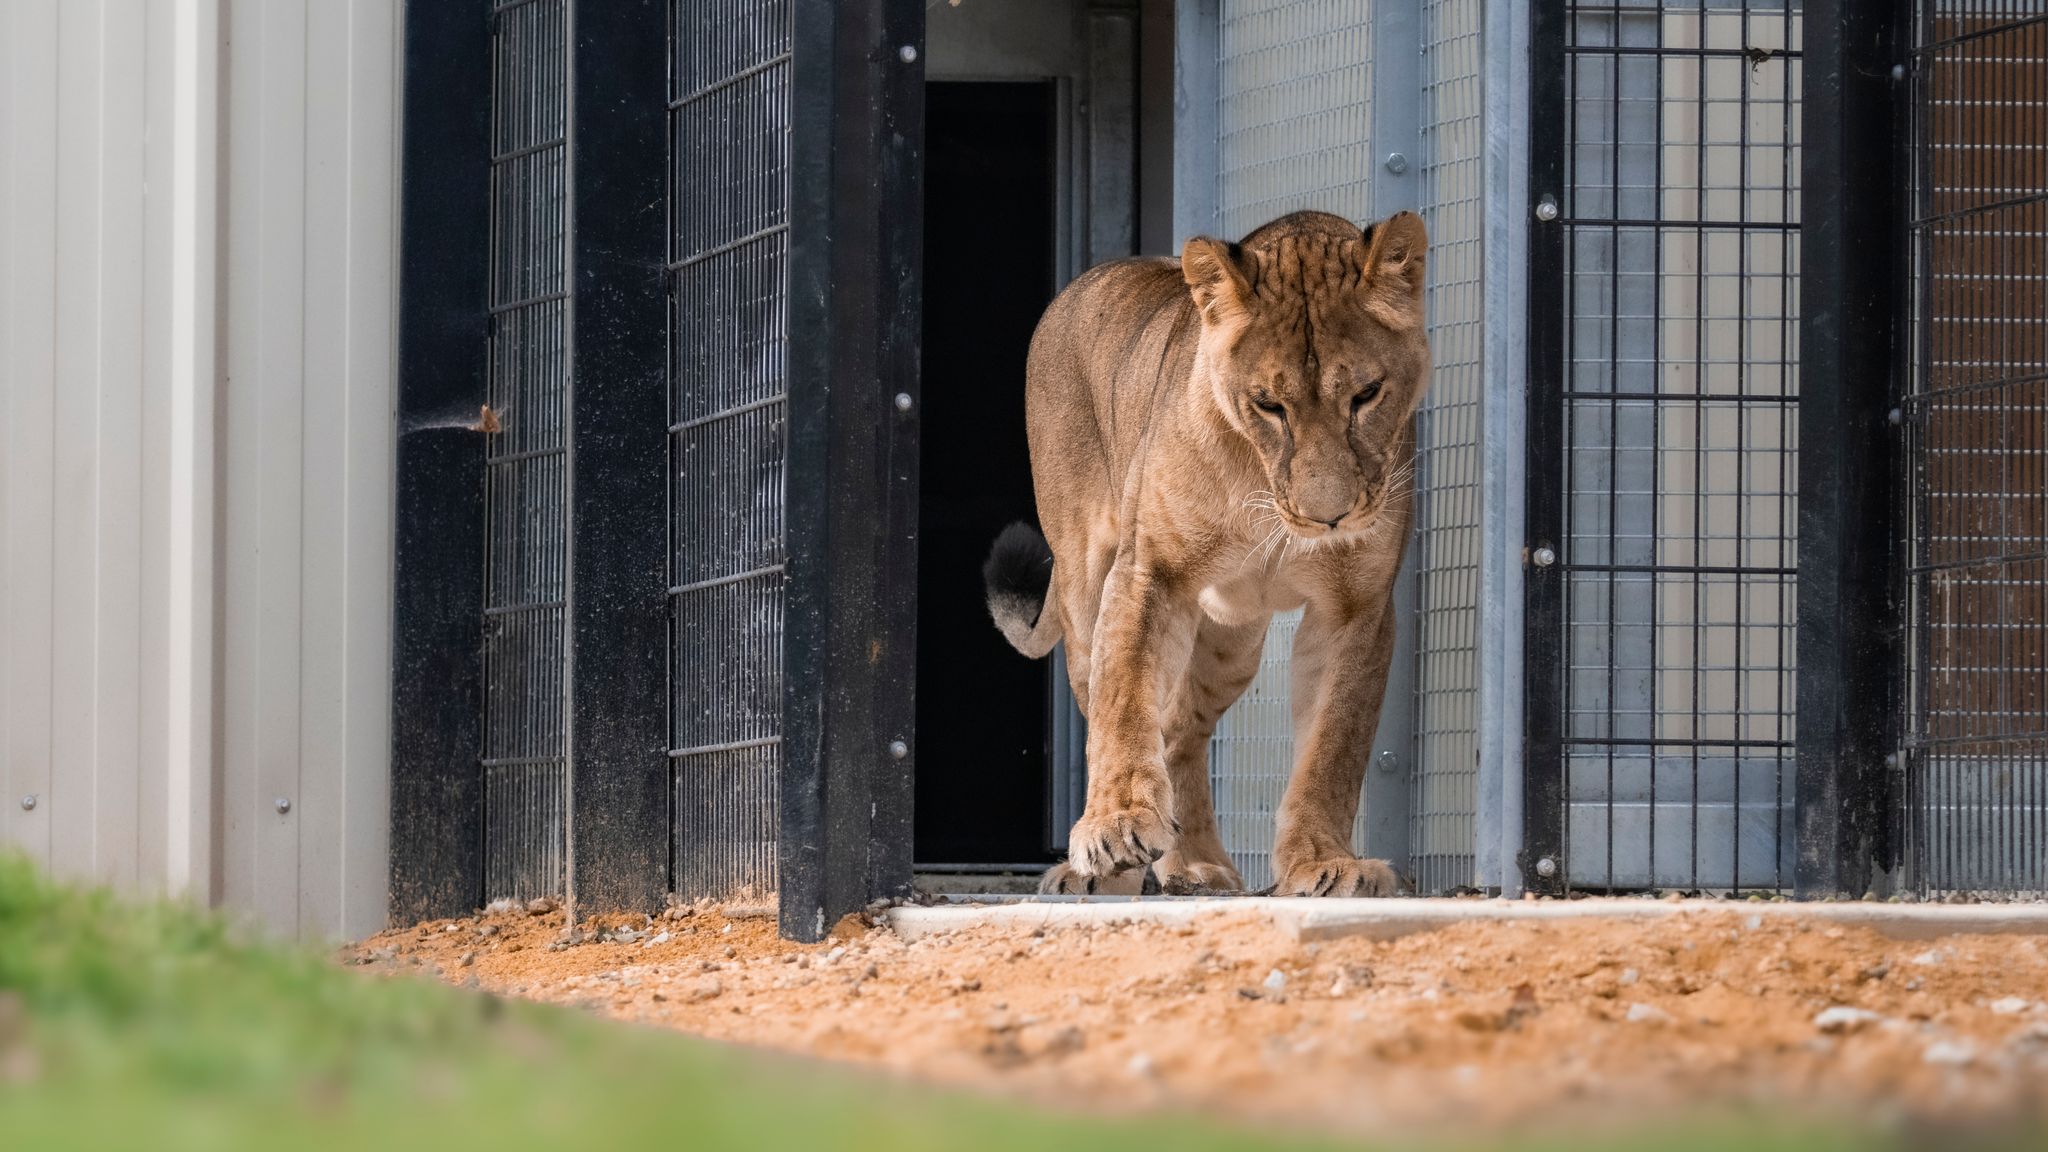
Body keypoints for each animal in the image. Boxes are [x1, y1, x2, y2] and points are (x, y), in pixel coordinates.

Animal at [982, 209, 1427, 897]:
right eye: (1269, 404)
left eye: (1367, 394)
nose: (1329, 516)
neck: (1263, 495)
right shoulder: (1150, 572)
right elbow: (1123, 702)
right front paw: (1117, 827)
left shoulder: (1356, 607)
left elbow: (1334, 742)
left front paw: (1323, 861)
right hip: (1085, 591)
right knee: (1111, 705)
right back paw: (1104, 872)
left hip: (1231, 641)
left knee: (1180, 729)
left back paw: (1193, 863)